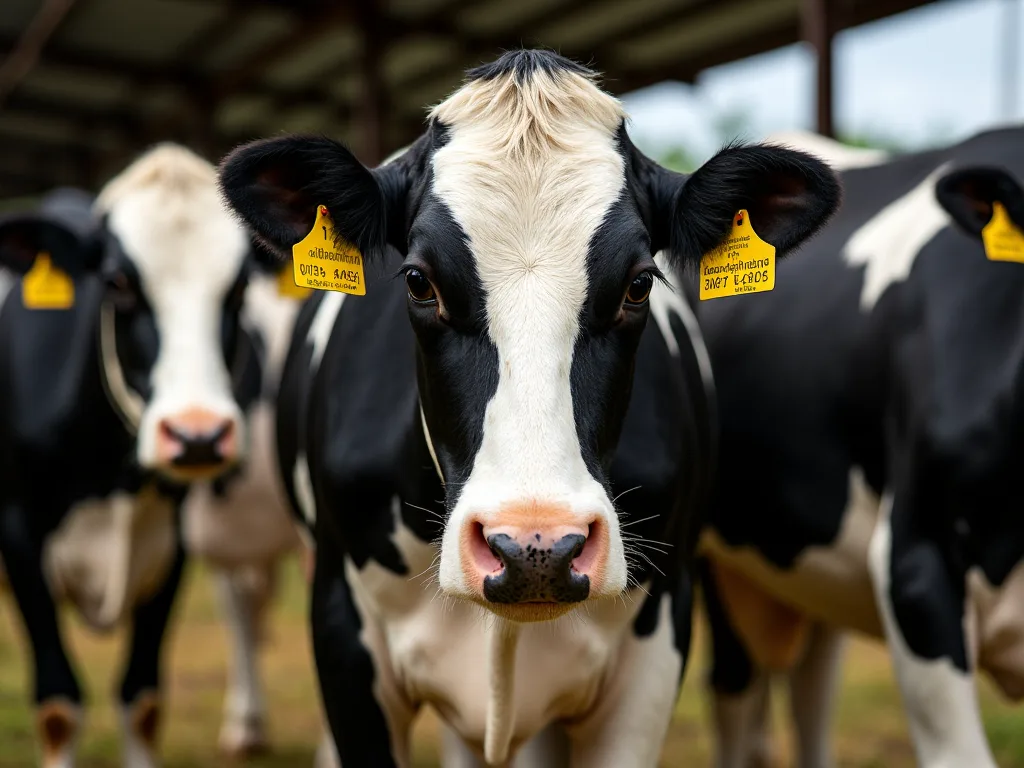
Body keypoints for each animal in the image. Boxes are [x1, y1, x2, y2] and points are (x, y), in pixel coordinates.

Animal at [0, 143, 261, 768]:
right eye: (117, 281)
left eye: (240, 287)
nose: (197, 435)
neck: (109, 478)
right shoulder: (18, 536)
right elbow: (58, 705)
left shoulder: (171, 545)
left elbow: (141, 699)